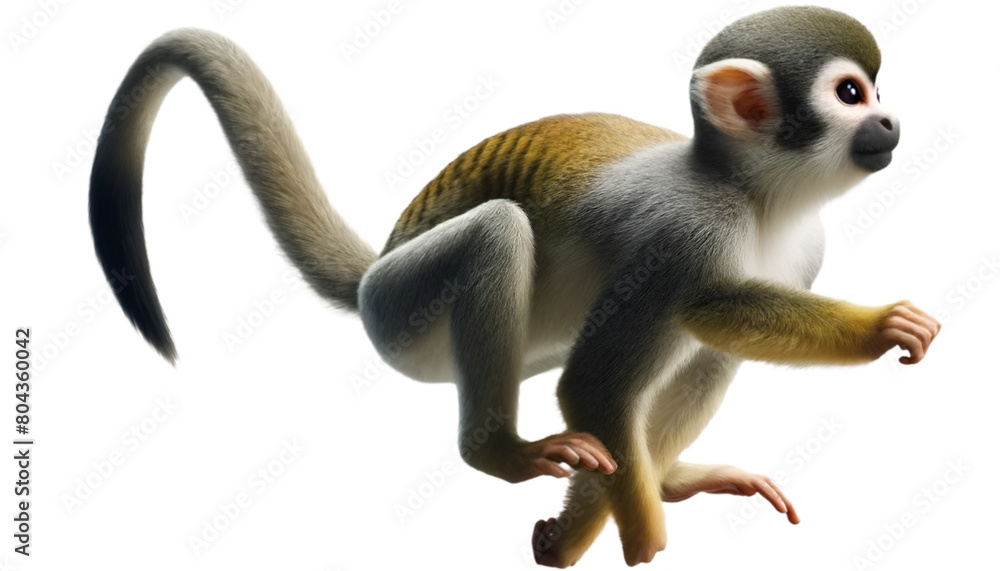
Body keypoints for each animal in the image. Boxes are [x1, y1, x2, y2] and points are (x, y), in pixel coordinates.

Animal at [88, 6, 940, 568]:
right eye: (852, 95)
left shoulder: (804, 250)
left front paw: (627, 504)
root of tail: (372, 270)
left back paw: (665, 476)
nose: (892, 123)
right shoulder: (683, 232)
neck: (756, 195)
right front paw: (634, 540)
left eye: (875, 94)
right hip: (401, 312)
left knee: (705, 338)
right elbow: (596, 386)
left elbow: (709, 331)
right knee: (502, 234)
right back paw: (499, 451)